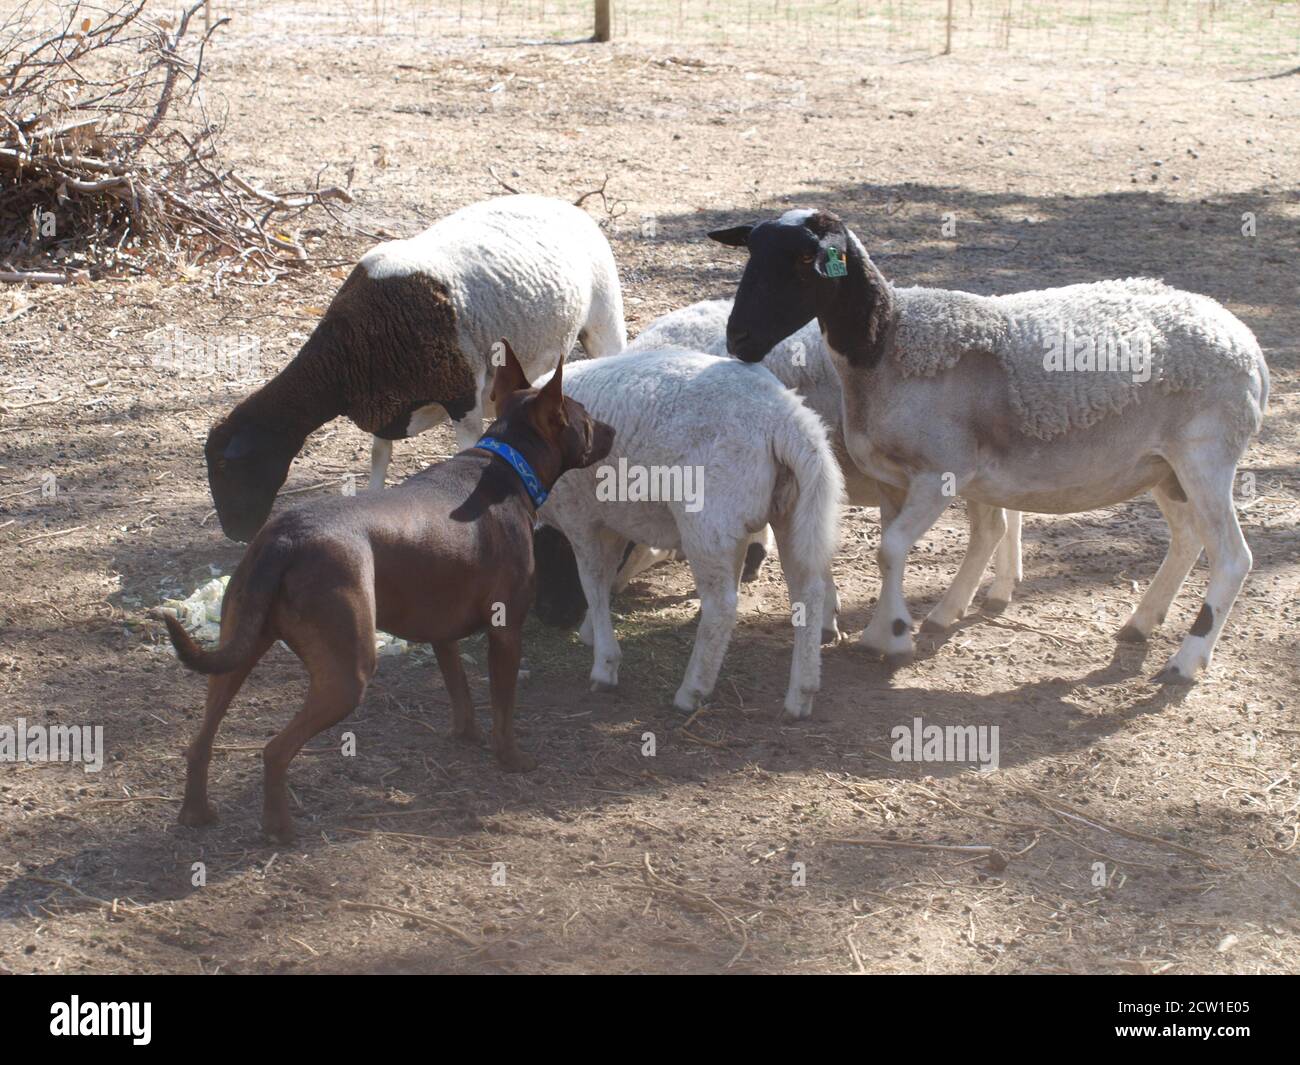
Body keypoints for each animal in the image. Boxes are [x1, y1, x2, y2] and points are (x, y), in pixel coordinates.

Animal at [205, 194, 626, 541]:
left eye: (225, 466)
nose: (235, 534)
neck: (350, 352)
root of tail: (564, 203)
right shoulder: (384, 407)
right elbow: (379, 459)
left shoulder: (463, 398)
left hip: (604, 317)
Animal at [532, 346, 845, 719]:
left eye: (545, 555)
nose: (547, 616)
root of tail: (787, 419)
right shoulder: (613, 519)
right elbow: (606, 576)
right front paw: (591, 631)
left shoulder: (579, 515)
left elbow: (593, 581)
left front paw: (605, 664)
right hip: (787, 511)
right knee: (807, 593)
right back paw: (801, 694)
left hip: (706, 521)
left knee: (721, 607)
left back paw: (692, 691)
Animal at [712, 208, 1269, 684]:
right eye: (752, 254)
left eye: (803, 262)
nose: (738, 339)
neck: (886, 345)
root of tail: (1245, 342)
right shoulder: (895, 481)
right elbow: (891, 551)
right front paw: (886, 628)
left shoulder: (940, 472)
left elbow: (890, 550)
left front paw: (891, 637)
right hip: (1162, 466)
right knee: (1187, 538)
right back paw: (1140, 623)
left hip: (1206, 454)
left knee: (1233, 557)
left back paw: (1186, 661)